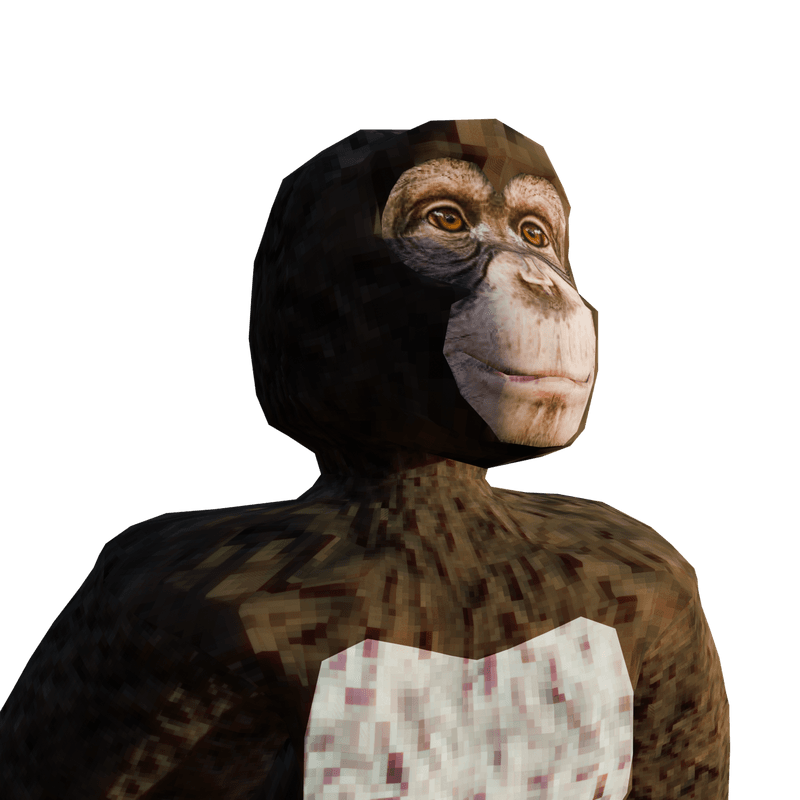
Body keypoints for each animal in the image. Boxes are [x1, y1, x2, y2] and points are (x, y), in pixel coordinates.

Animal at [0, 118, 730, 800]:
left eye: (533, 234)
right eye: (447, 220)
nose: (542, 281)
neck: (427, 503)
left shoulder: (656, 579)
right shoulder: (155, 602)